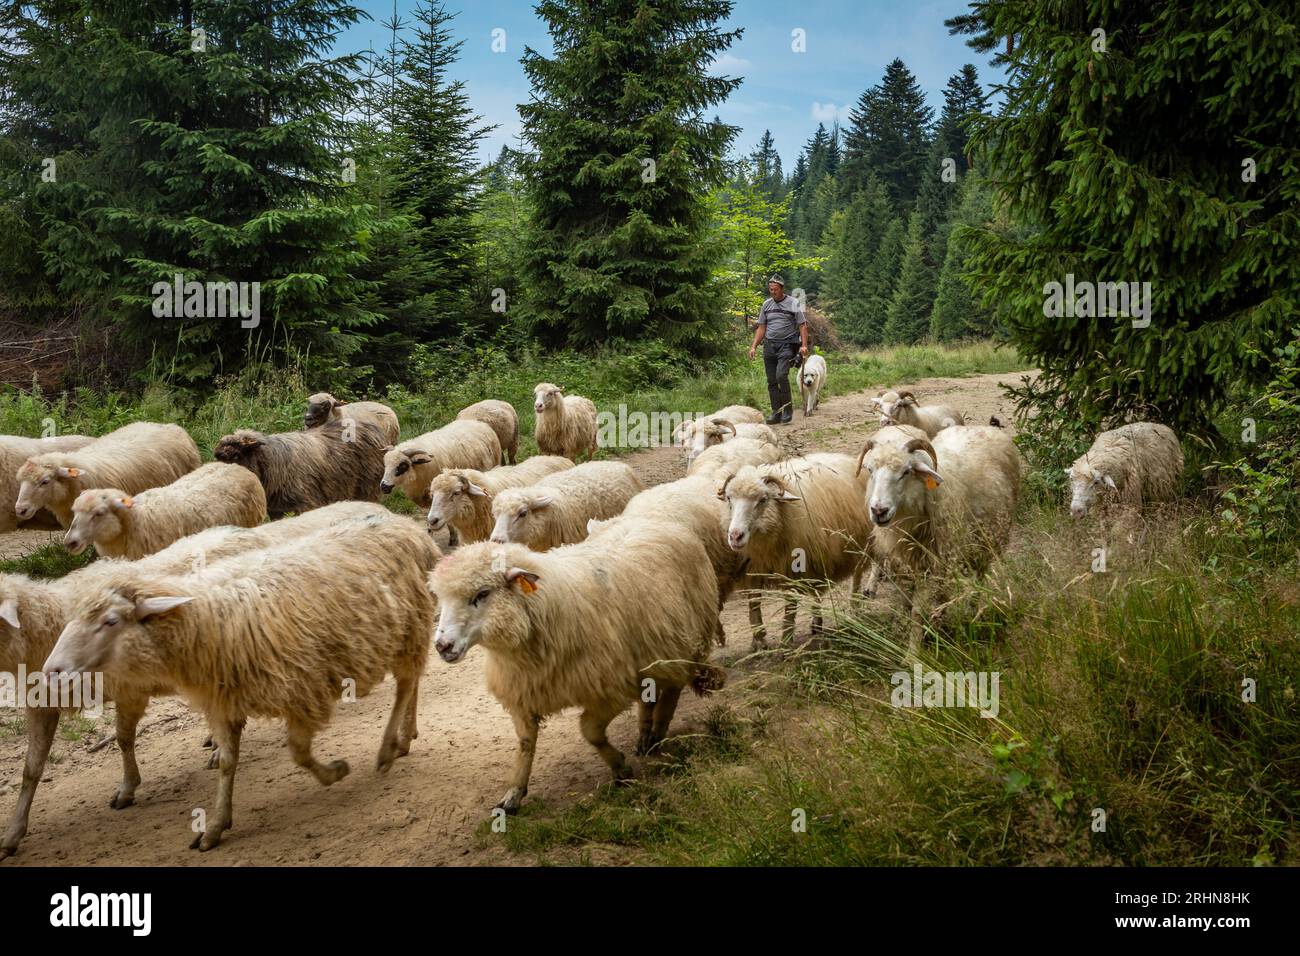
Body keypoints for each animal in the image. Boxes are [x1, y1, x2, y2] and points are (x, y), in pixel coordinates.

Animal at [0, 502, 399, 860]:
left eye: (110, 622)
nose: (53, 669)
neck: (42, 627)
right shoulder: (43, 701)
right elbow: (30, 771)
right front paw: (13, 834)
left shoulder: (130, 690)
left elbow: (124, 738)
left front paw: (128, 787)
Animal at [427, 523, 725, 813]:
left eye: (482, 593)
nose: (441, 646)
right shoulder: (523, 692)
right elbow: (525, 744)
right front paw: (514, 794)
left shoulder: (610, 690)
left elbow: (589, 731)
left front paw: (620, 768)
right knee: (650, 693)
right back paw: (645, 734)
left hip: (686, 641)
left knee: (674, 688)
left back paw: (658, 731)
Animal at [720, 454, 873, 649]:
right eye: (729, 499)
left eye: (763, 499)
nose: (735, 536)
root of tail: (846, 457)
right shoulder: (753, 568)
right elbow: (754, 603)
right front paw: (759, 640)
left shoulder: (792, 568)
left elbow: (790, 606)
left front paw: (786, 641)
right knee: (818, 589)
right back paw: (817, 622)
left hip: (859, 544)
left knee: (857, 576)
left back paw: (854, 610)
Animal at [856, 425, 1023, 649]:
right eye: (870, 470)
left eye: (906, 472)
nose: (879, 511)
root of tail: (984, 427)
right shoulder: (902, 564)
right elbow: (905, 604)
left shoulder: (934, 565)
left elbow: (917, 613)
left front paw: (913, 652)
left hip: (987, 542)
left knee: (980, 577)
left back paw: (971, 610)